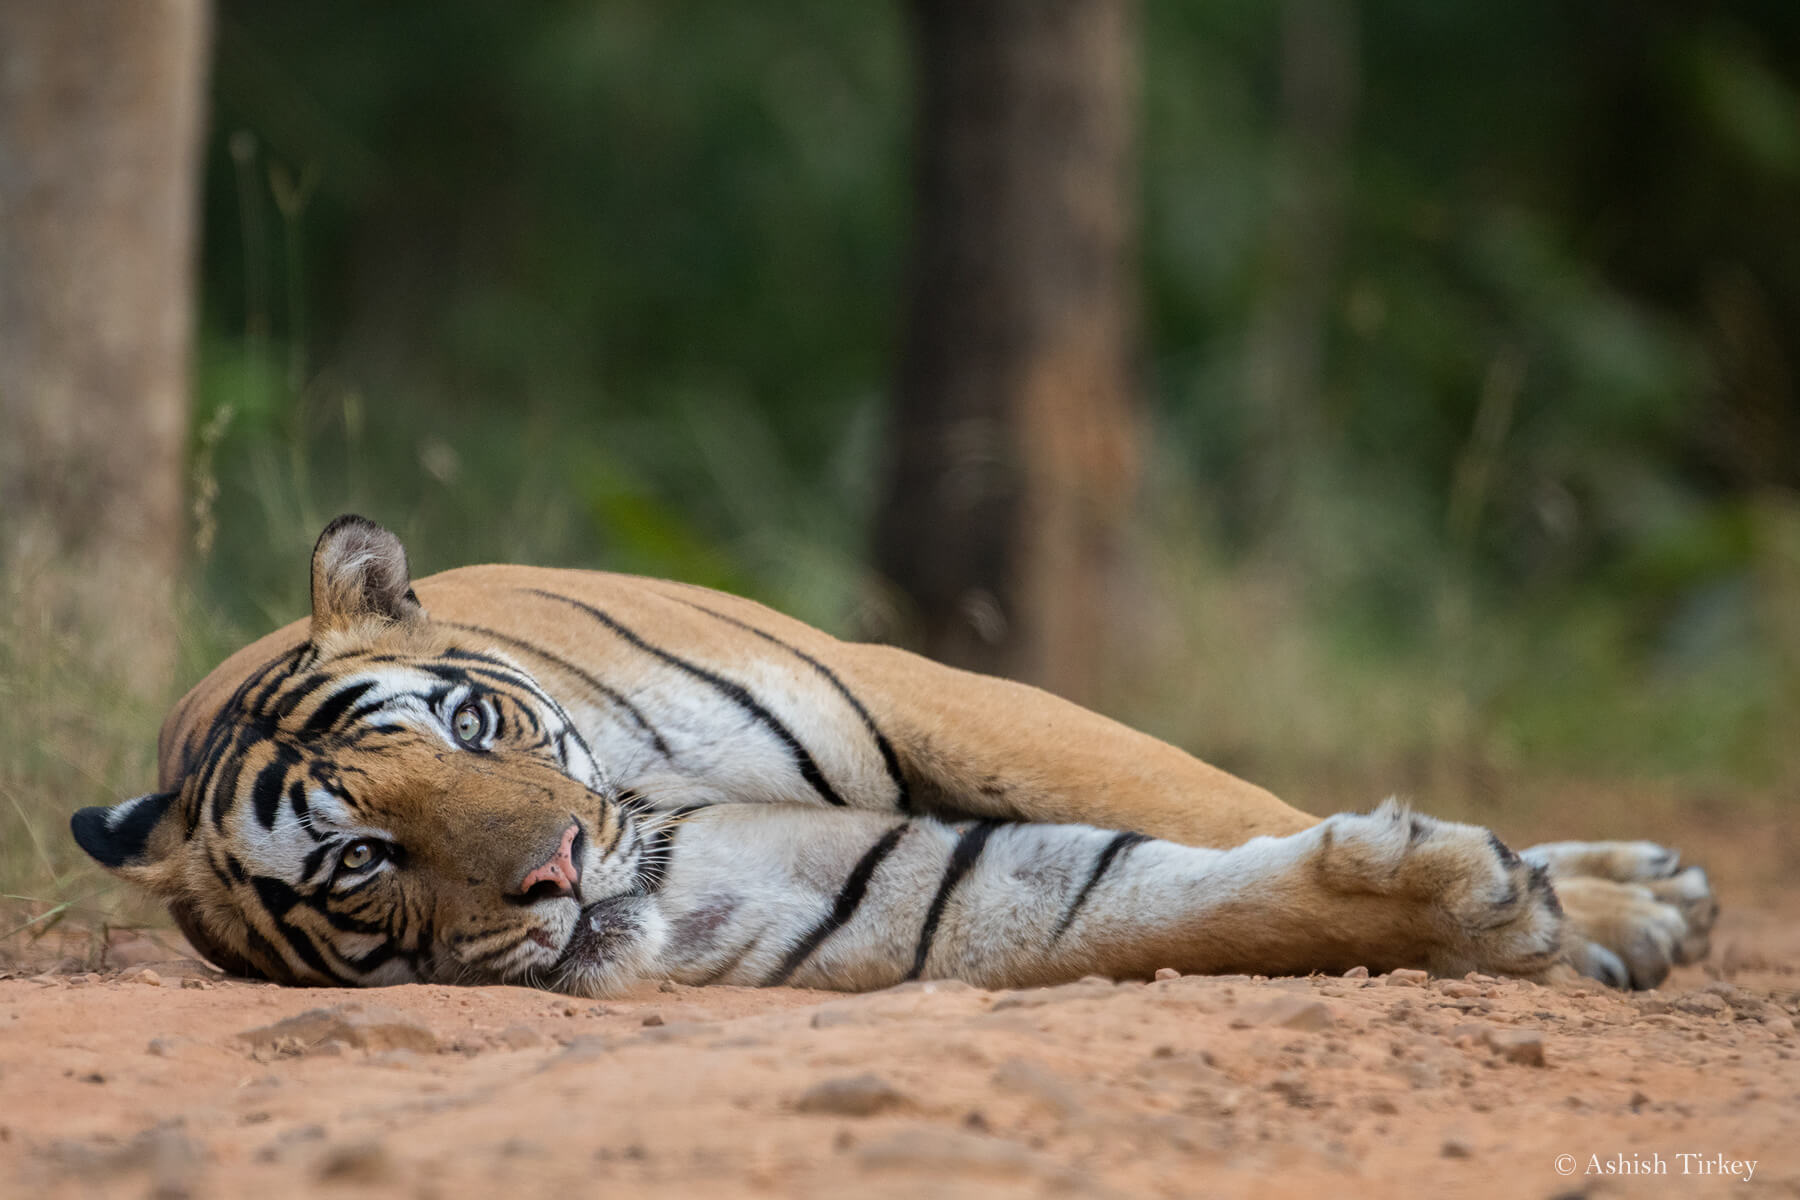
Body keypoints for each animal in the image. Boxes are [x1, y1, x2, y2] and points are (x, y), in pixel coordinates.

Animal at [71, 515, 1716, 996]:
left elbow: (1196, 800)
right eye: (363, 859)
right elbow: (1131, 898)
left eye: (470, 727)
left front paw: (1560, 905)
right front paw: (1478, 908)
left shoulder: (918, 689)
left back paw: (1650, 892)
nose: (559, 870)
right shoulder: (815, 899)